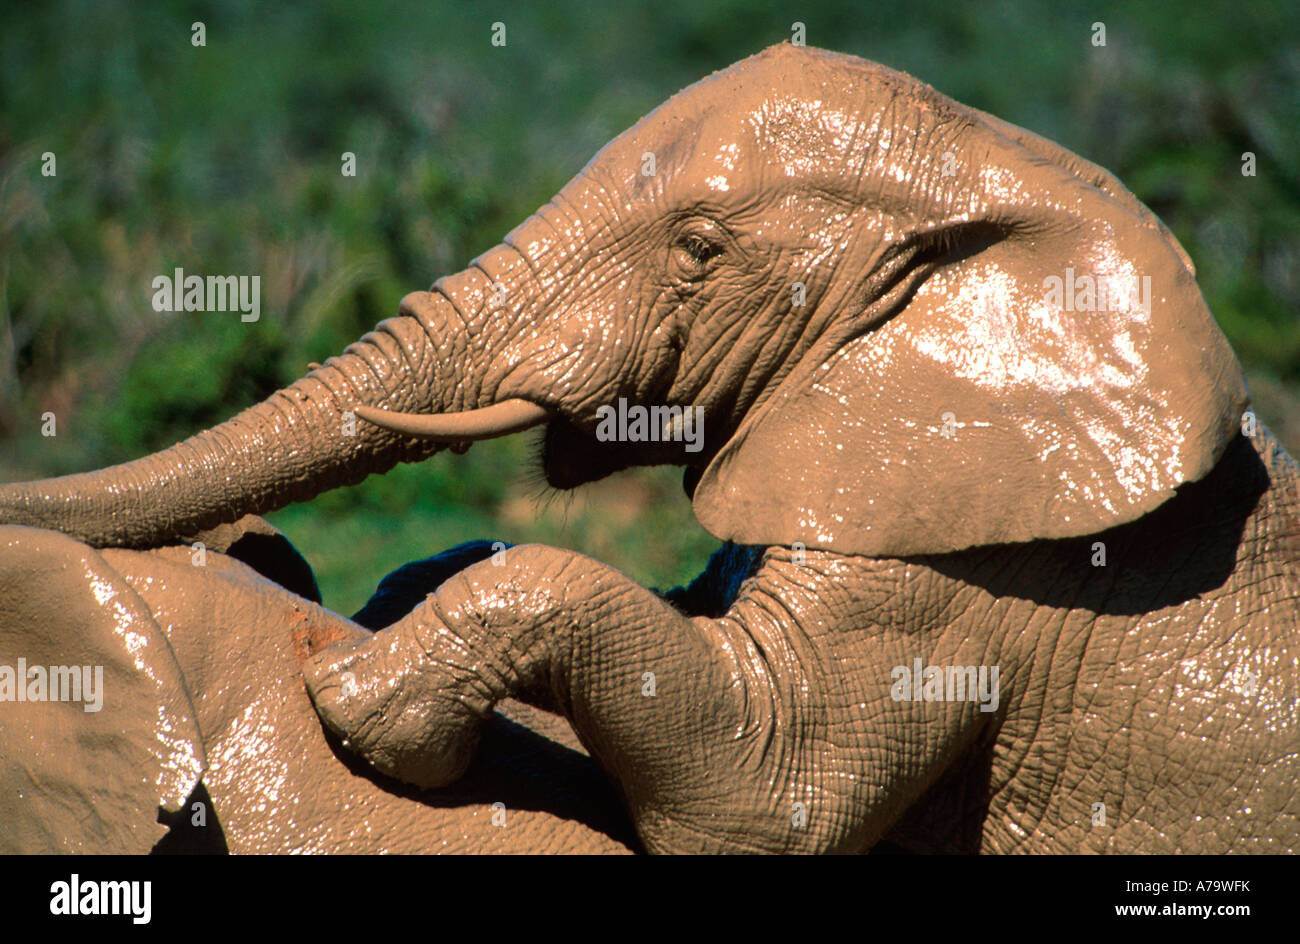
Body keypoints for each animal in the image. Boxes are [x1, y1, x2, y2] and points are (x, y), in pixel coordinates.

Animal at [2, 43, 1297, 853]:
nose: (254, 545)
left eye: (698, 250)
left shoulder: (973, 558)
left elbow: (768, 796)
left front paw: (355, 696)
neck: (1007, 178)